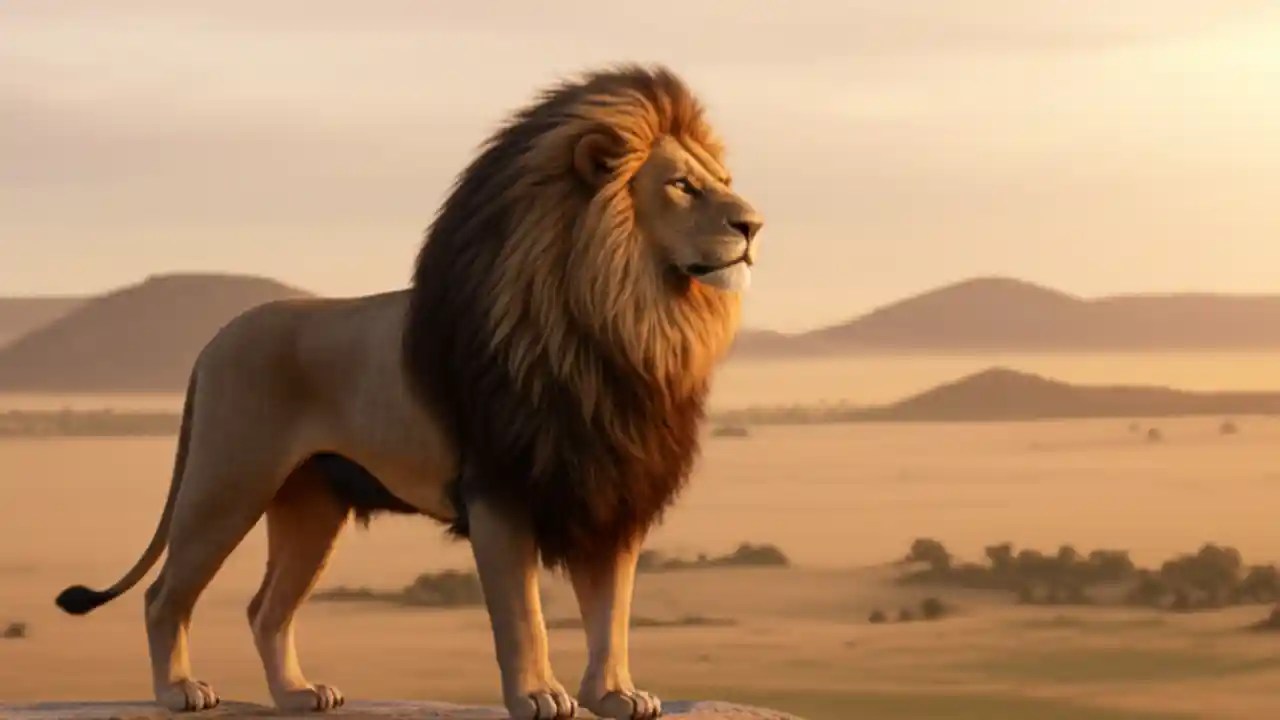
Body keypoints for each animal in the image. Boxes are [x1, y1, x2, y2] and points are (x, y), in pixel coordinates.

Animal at [54, 64, 763, 720]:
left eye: (723, 180)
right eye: (681, 185)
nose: (753, 224)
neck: (628, 324)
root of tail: (212, 343)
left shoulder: (611, 492)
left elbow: (611, 613)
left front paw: (615, 695)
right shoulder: (499, 491)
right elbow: (523, 616)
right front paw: (538, 695)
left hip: (312, 504)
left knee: (265, 609)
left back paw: (297, 694)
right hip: (227, 482)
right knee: (164, 594)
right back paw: (178, 690)